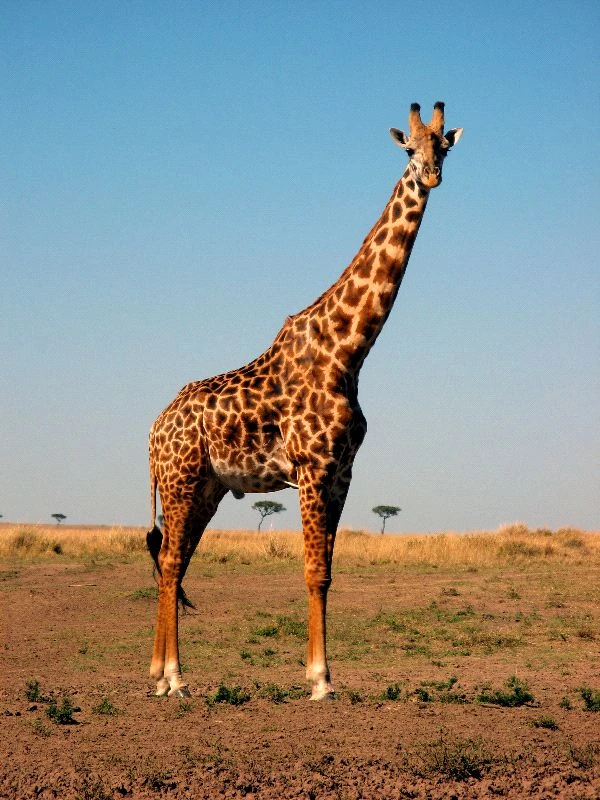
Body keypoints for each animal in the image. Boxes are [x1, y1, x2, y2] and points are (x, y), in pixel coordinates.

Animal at [147, 101, 463, 700]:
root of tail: (151, 432)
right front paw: (320, 681)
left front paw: (321, 674)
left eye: (445, 147)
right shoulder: (313, 468)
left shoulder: (342, 472)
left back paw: (156, 672)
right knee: (171, 559)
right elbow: (313, 572)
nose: (431, 175)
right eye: (409, 149)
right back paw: (173, 678)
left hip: (207, 489)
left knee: (175, 561)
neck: (349, 351)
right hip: (179, 481)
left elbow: (329, 572)